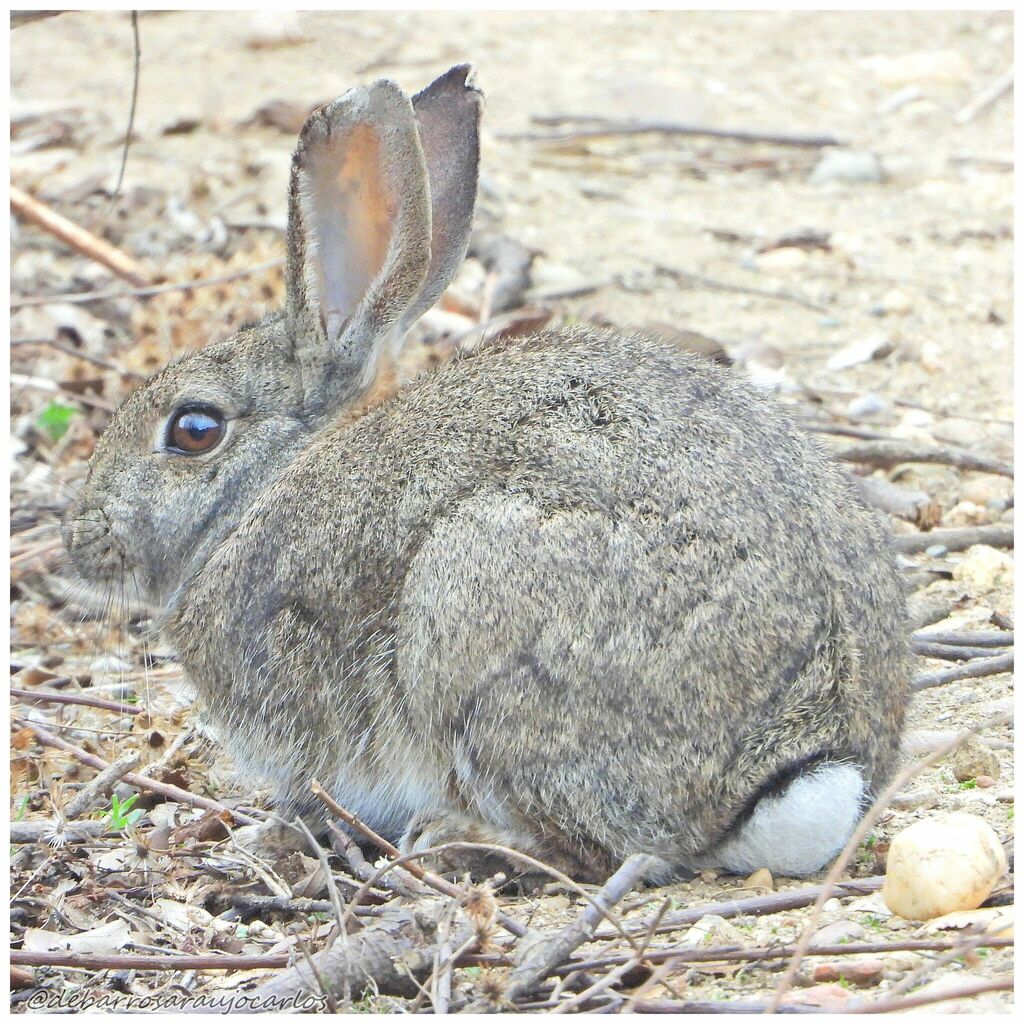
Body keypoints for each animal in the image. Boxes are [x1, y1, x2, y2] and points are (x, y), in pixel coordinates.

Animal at [63, 64, 908, 883]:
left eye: (194, 429)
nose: (81, 542)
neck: (268, 486)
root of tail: (800, 759)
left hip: (471, 620)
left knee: (594, 850)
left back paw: (456, 843)